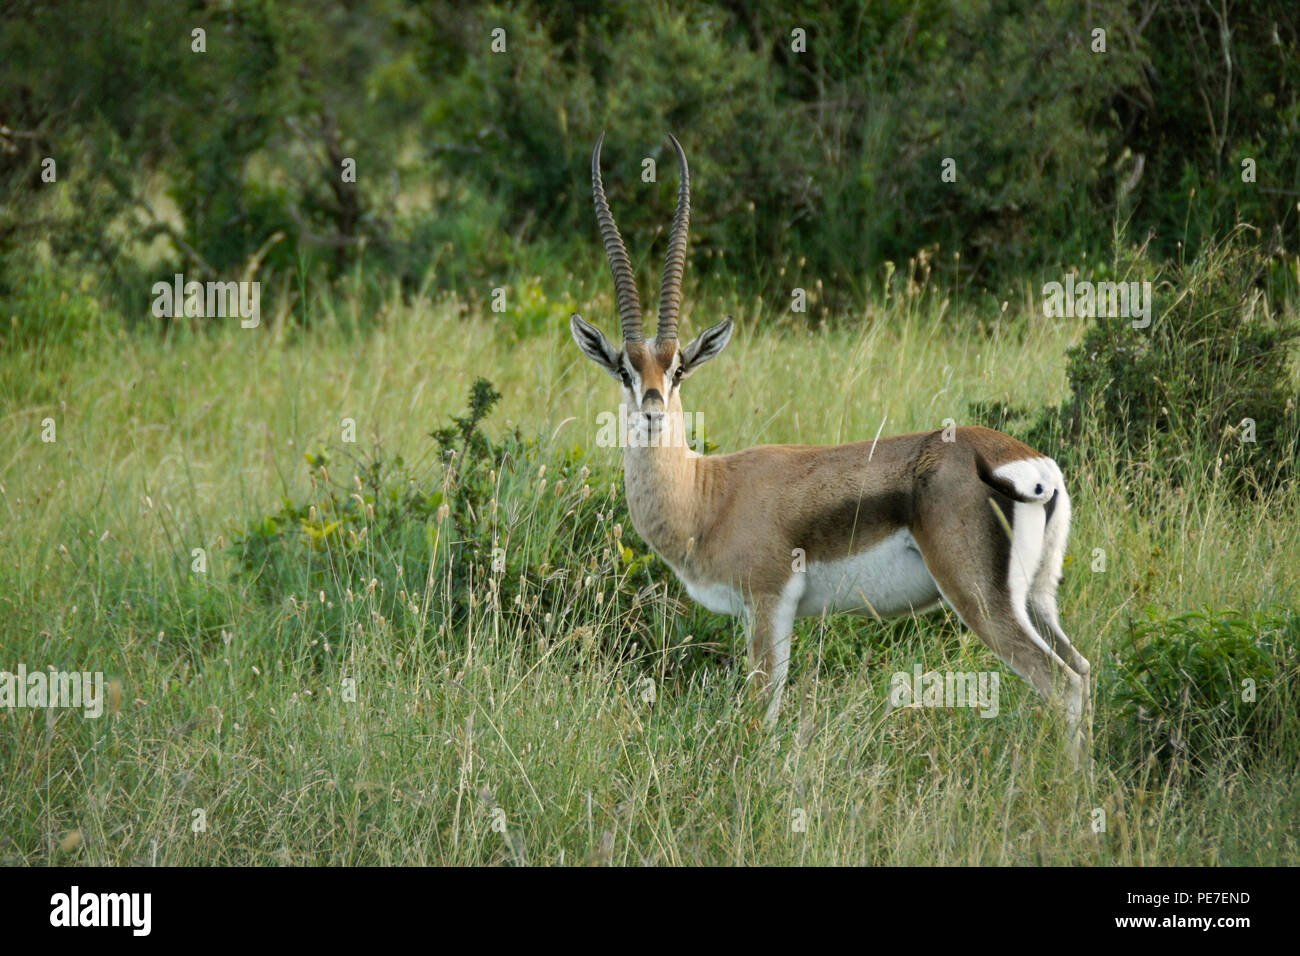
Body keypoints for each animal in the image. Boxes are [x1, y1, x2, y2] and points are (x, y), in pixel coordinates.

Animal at [570, 134, 1092, 762]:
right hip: (1039, 598)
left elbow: (760, 714)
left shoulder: (767, 604)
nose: (650, 412)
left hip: (980, 600)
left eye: (677, 369)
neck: (708, 495)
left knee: (1061, 682)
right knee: (1083, 669)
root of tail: (1030, 466)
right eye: (624, 369)